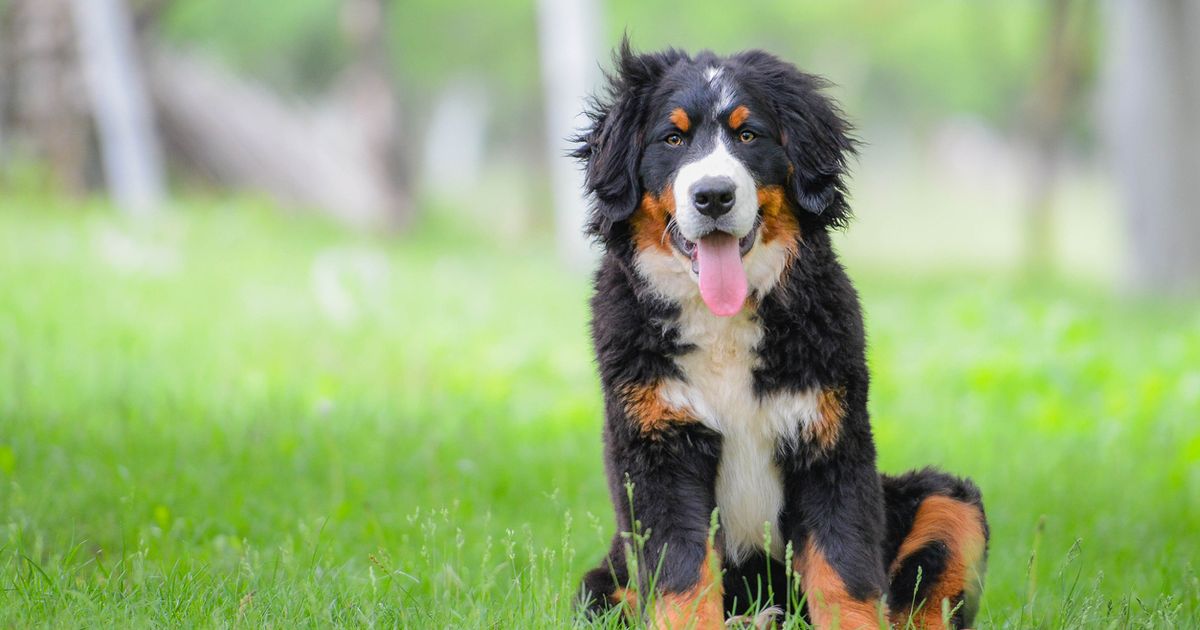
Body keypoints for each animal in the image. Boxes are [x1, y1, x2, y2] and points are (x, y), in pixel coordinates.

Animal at [576, 41, 988, 624]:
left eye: (749, 135)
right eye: (673, 138)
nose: (714, 196)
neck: (723, 324)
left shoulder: (830, 439)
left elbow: (843, 568)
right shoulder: (656, 445)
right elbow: (680, 570)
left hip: (946, 499)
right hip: (603, 585)